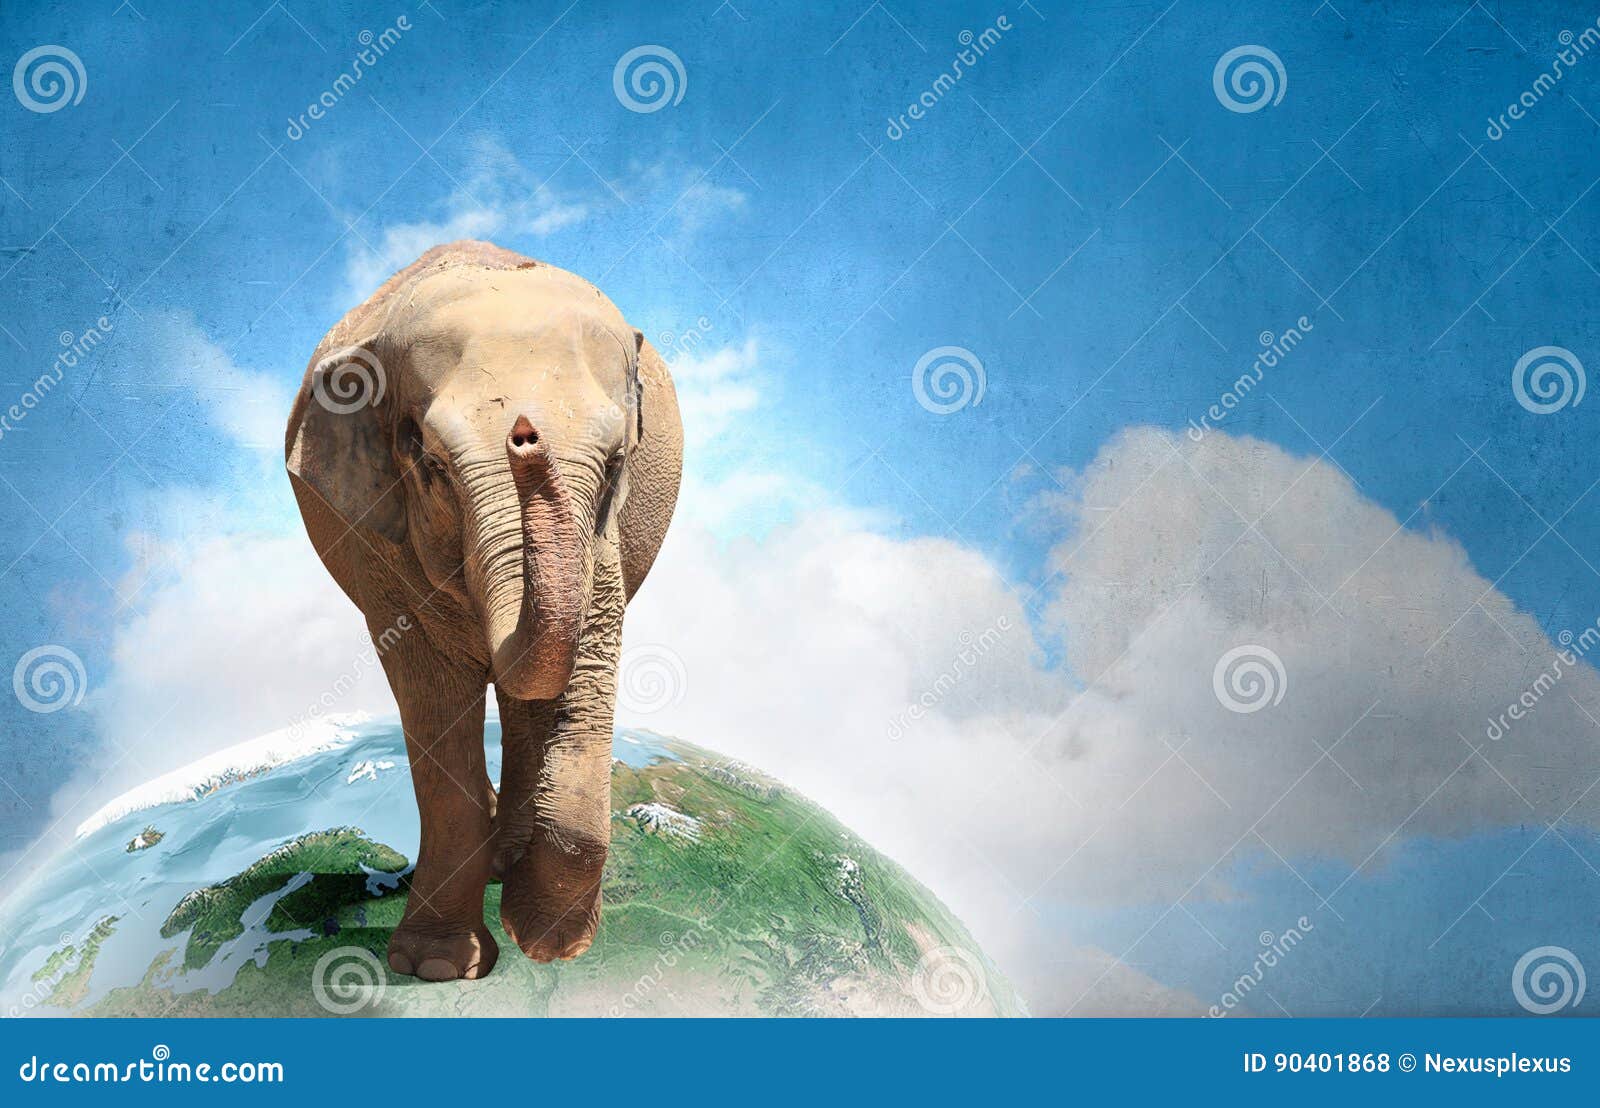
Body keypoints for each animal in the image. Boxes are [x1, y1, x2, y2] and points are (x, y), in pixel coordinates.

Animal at [284, 240, 682, 981]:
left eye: (617, 461)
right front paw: (437, 968)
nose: (526, 436)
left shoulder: (603, 545)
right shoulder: (378, 546)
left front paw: (547, 938)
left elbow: (577, 668)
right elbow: (432, 691)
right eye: (431, 461)